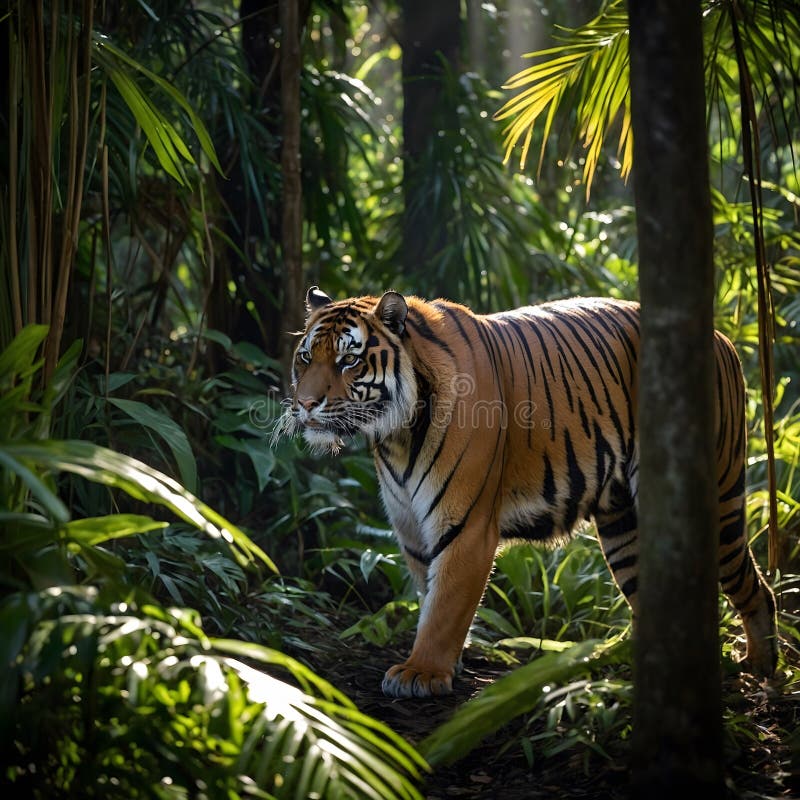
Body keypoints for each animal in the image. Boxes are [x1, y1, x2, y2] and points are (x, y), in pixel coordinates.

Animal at [276, 286, 778, 698]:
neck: (395, 436)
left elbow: (445, 606)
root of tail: (723, 339)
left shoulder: (466, 527)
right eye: (305, 357)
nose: (305, 405)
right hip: (625, 525)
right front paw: (443, 666)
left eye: (349, 360)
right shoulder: (411, 531)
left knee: (755, 586)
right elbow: (428, 596)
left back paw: (761, 666)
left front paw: (422, 672)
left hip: (719, 500)